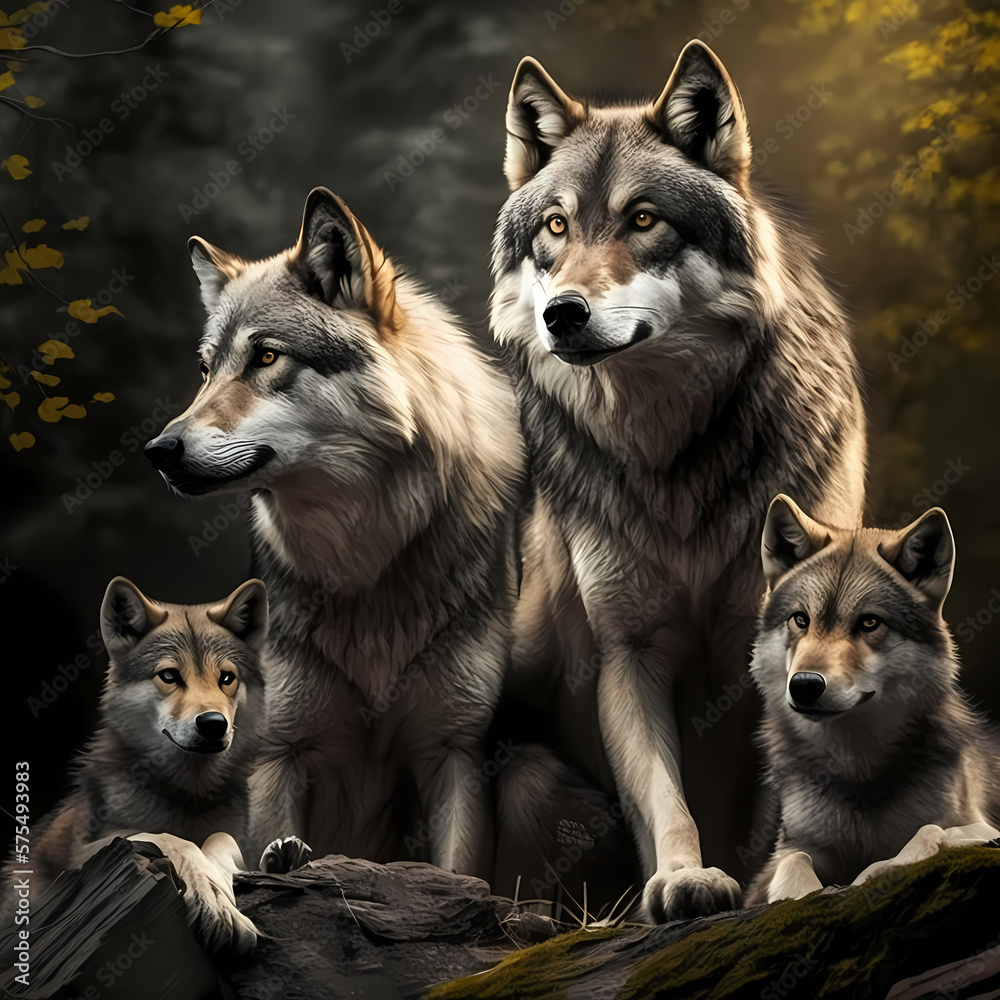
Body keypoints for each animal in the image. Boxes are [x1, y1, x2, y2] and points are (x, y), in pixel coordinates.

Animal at [7, 577, 269, 952]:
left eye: (227, 678)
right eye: (169, 676)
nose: (213, 723)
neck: (188, 798)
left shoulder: (232, 836)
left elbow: (221, 839)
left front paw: (222, 885)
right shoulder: (81, 858)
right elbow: (170, 838)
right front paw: (214, 900)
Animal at [144, 188, 525, 895]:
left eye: (266, 357)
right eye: (207, 371)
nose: (158, 451)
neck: (366, 565)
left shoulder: (454, 754)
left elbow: (459, 871)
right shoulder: (279, 755)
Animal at [490, 40, 867, 920]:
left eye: (642, 219)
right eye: (556, 225)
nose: (563, 314)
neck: (672, 459)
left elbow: (777, 801)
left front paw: (771, 881)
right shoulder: (629, 651)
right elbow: (664, 794)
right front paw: (685, 880)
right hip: (529, 775)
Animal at [746, 495, 1000, 905]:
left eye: (869, 623)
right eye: (800, 619)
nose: (804, 685)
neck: (858, 773)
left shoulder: (983, 825)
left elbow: (930, 831)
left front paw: (871, 873)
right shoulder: (789, 850)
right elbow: (793, 861)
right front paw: (798, 893)